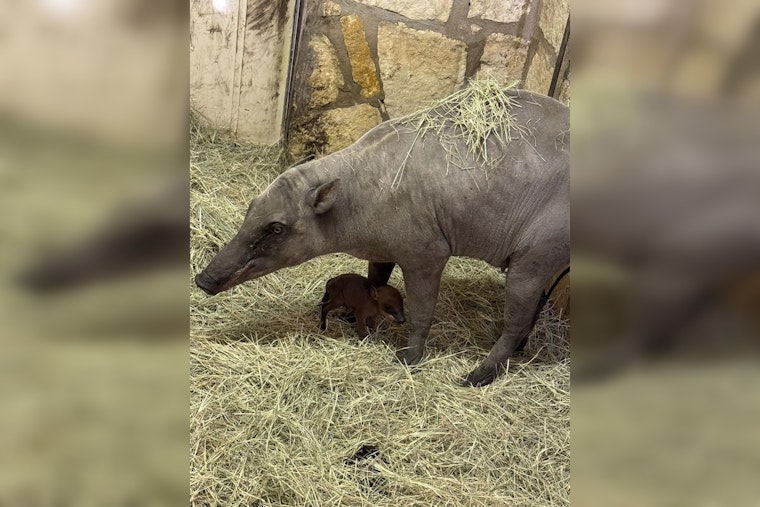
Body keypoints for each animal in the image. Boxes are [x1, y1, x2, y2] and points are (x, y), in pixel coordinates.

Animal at [195, 88, 569, 387]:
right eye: (250, 207)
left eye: (276, 228)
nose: (202, 280)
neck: (359, 194)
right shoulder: (384, 251)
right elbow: (376, 278)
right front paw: (354, 312)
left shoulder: (427, 256)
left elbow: (421, 310)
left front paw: (409, 357)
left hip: (533, 259)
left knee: (516, 320)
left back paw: (480, 374)